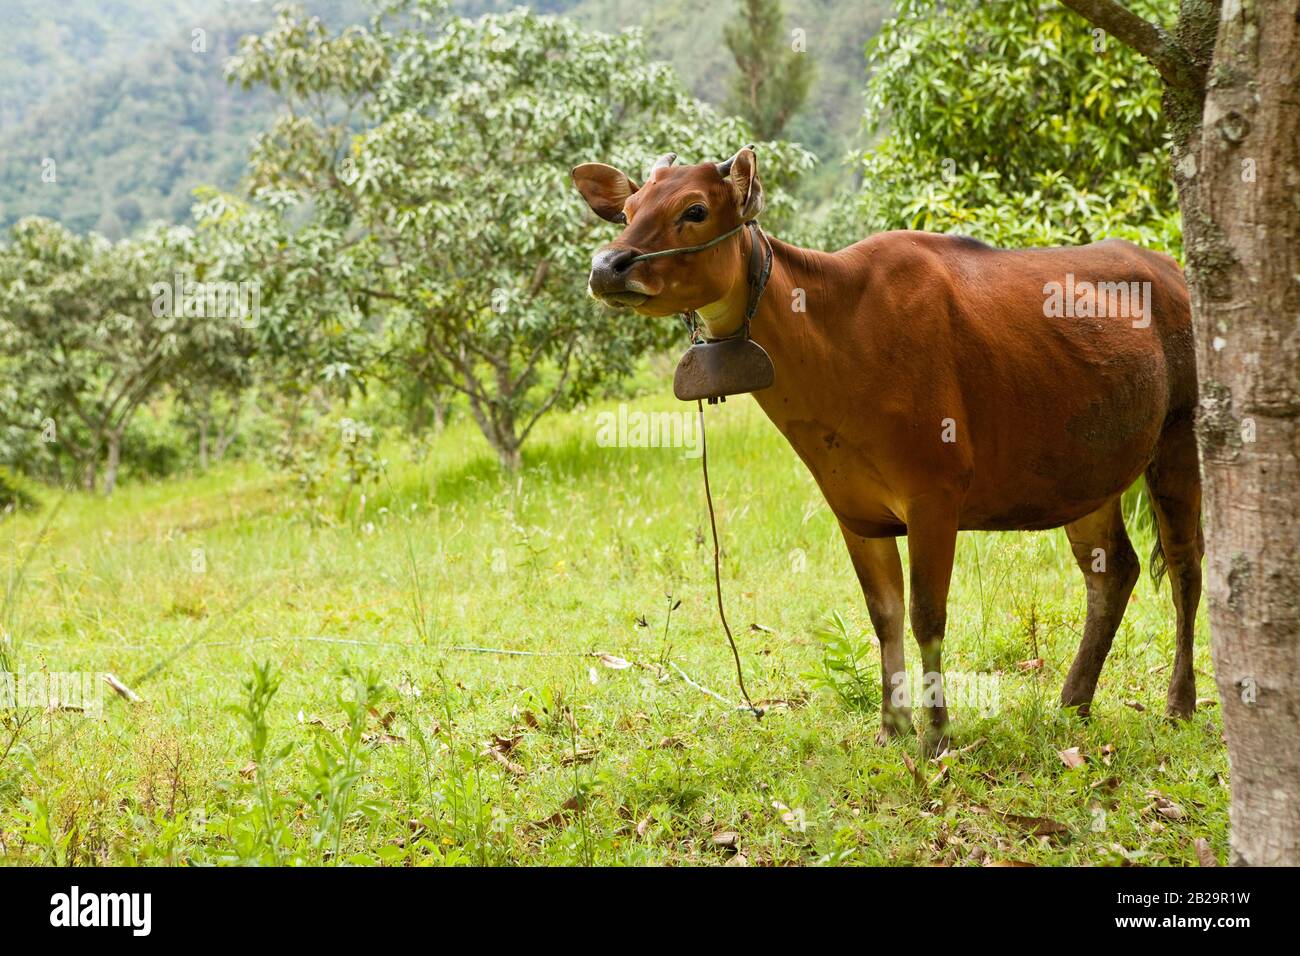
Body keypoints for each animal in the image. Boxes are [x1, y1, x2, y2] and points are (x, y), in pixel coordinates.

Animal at [572, 148, 1202, 755]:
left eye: (695, 209)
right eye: (627, 213)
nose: (608, 267)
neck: (839, 338)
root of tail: (1174, 271)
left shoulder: (935, 495)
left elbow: (928, 615)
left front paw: (937, 734)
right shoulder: (856, 511)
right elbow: (885, 615)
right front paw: (891, 727)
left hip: (1180, 434)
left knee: (1185, 567)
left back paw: (1179, 704)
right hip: (1089, 474)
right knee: (1114, 570)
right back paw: (1074, 701)